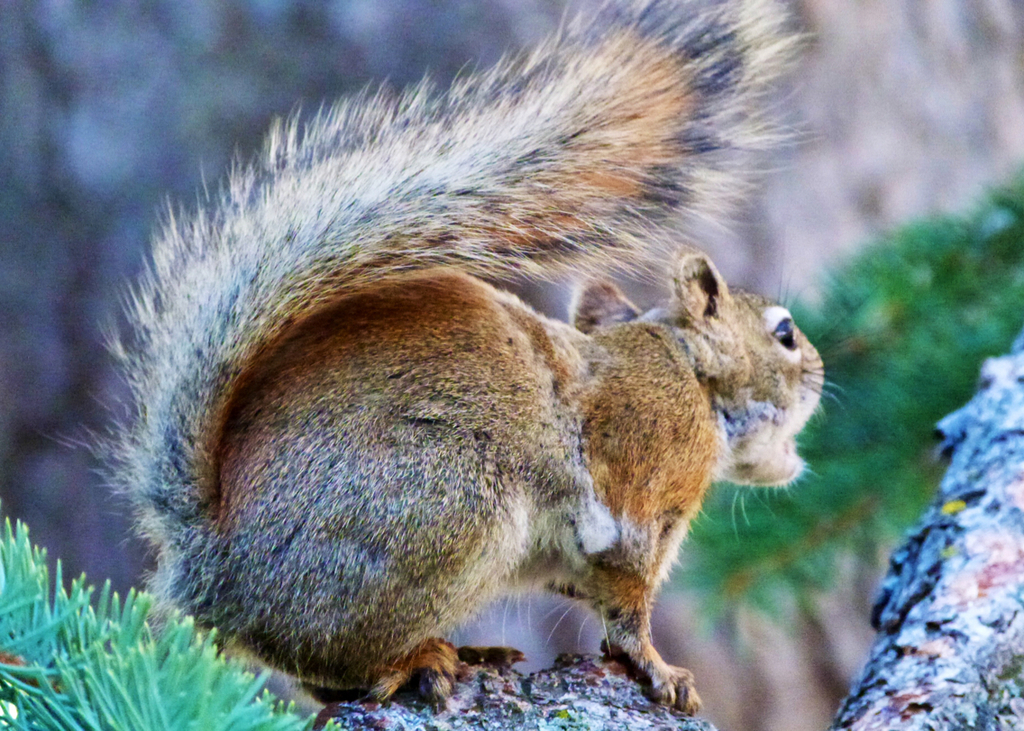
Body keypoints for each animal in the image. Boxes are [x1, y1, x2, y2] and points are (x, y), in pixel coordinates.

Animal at [110, 0, 822, 716]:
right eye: (784, 332)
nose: (820, 373)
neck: (690, 376)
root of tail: (211, 564)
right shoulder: (640, 491)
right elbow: (629, 607)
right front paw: (660, 669)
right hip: (449, 504)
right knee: (330, 657)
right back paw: (419, 659)